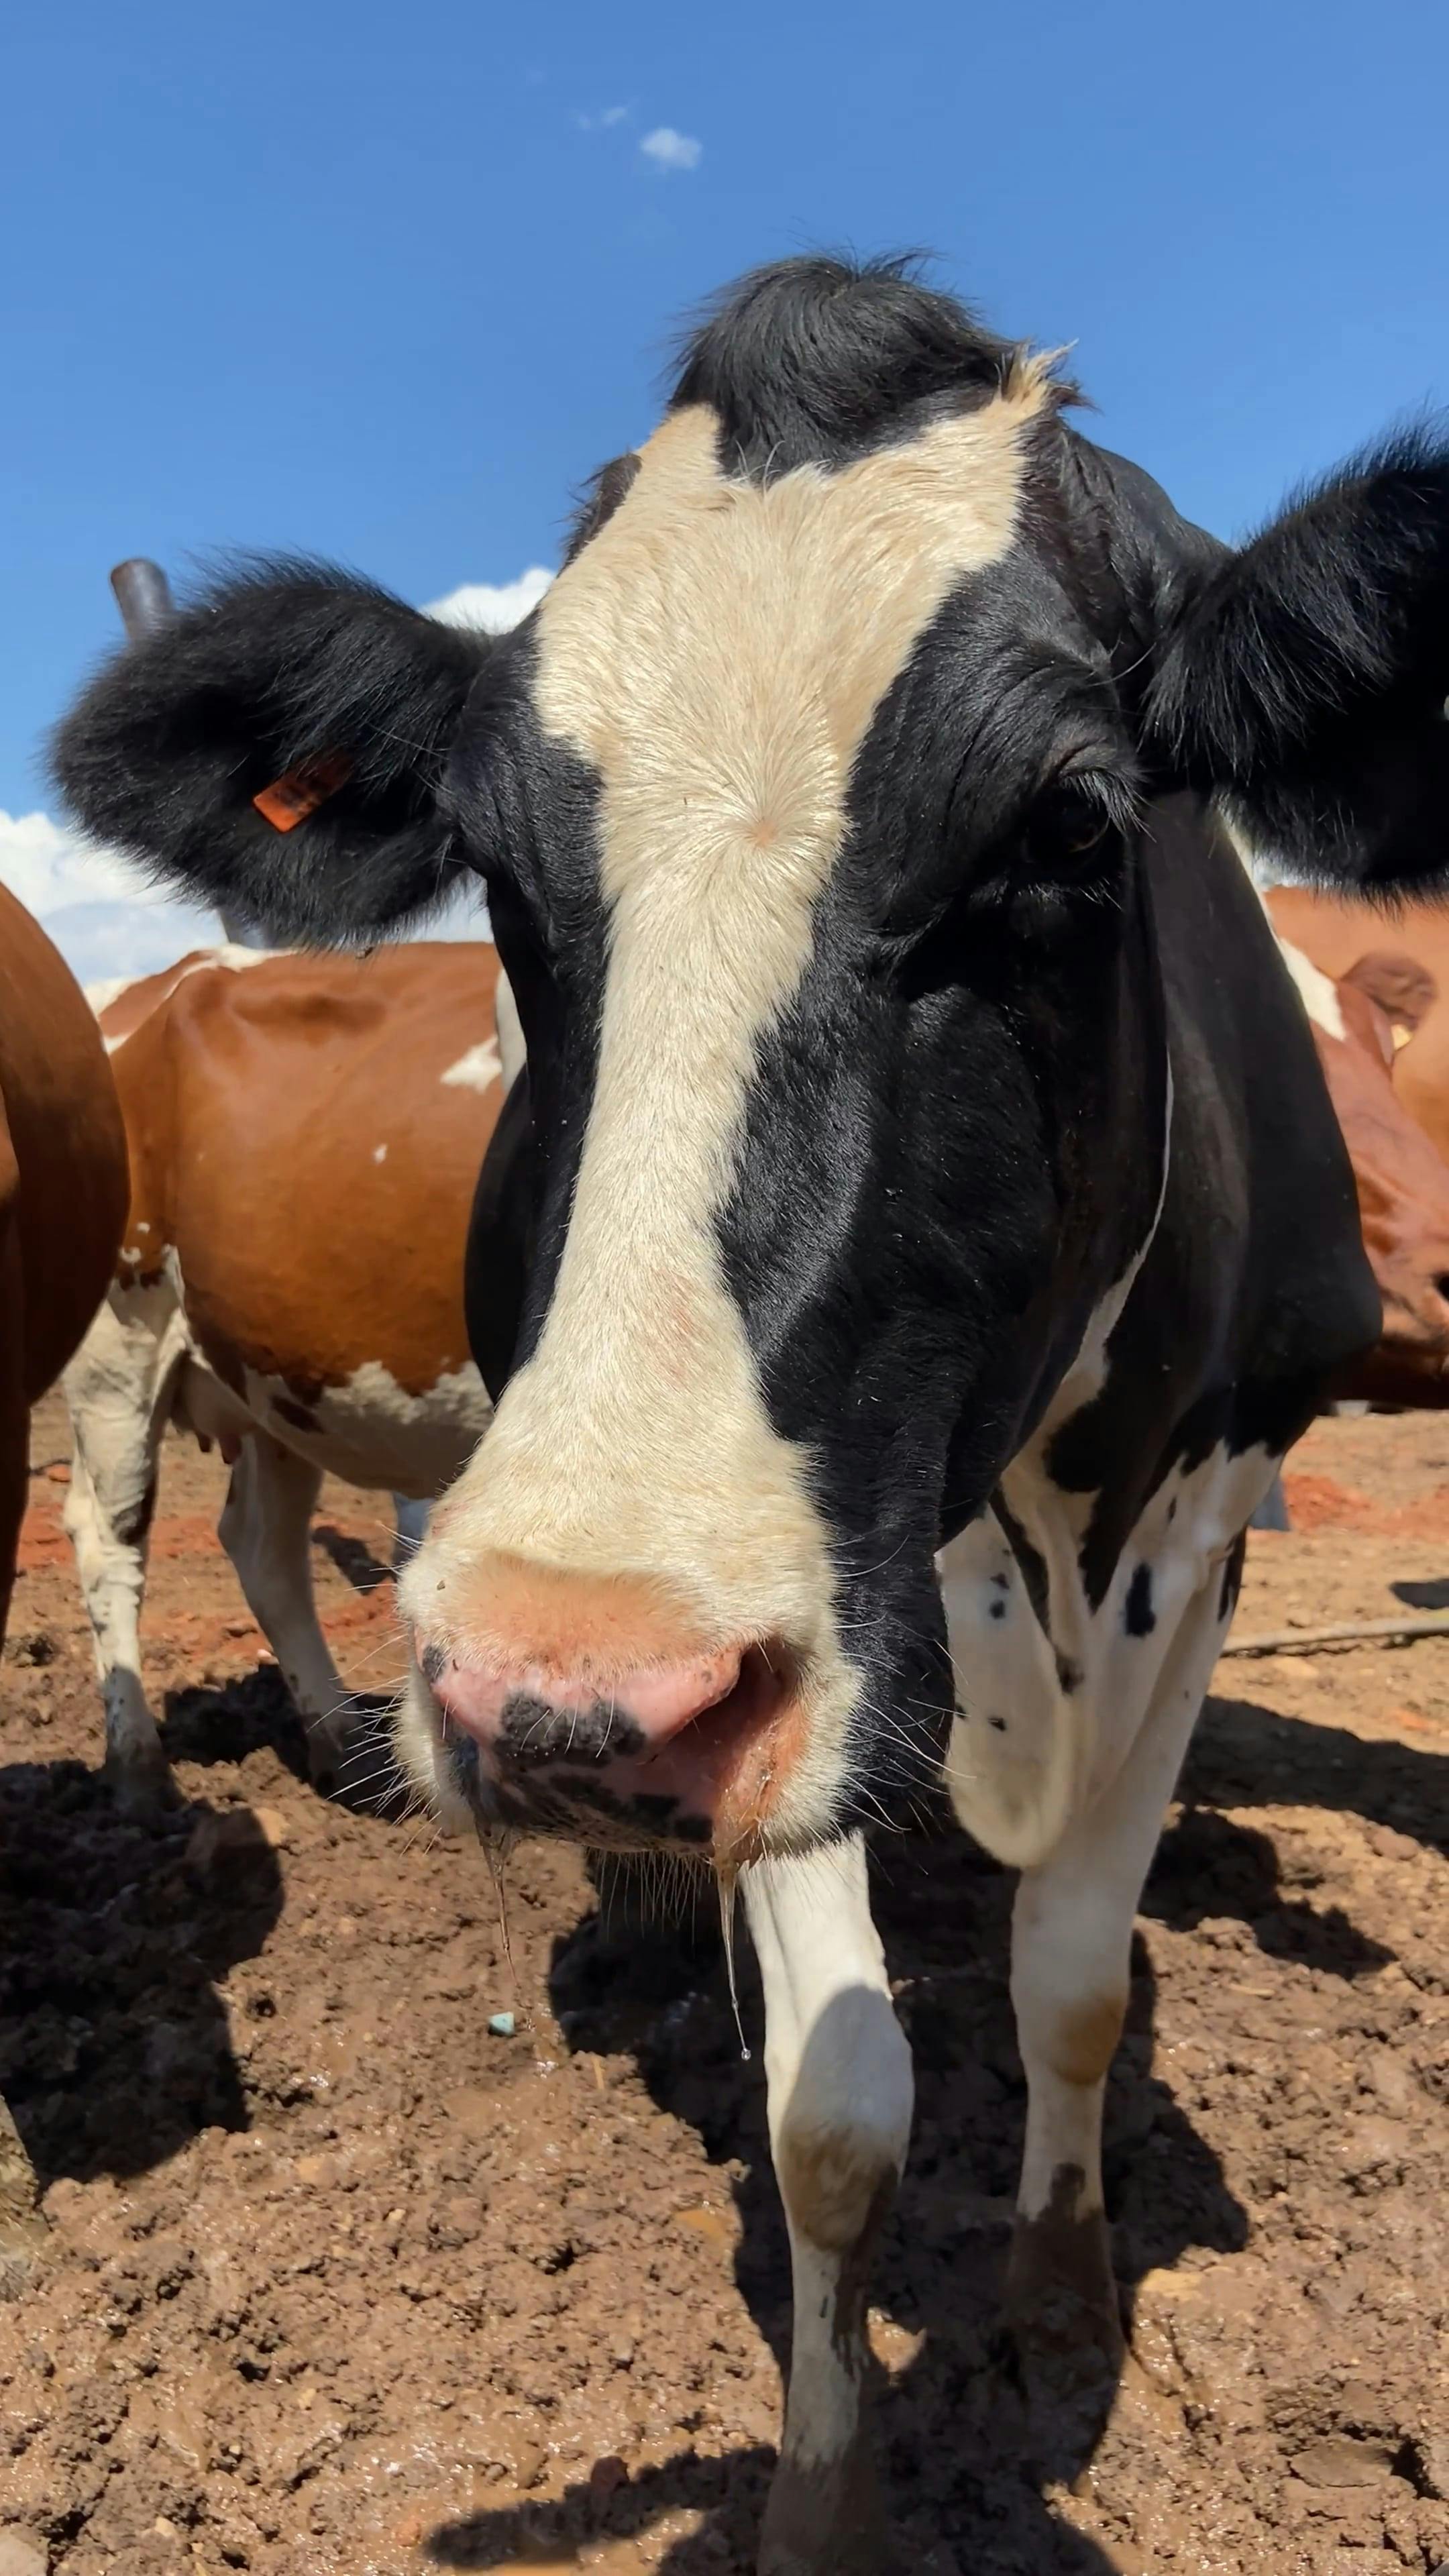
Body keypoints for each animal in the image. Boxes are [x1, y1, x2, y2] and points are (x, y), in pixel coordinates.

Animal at [63, 940, 520, 1809]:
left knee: (262, 1548)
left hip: (279, 1382)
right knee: (108, 1540)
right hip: (118, 1353)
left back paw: (349, 1747)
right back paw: (138, 1766)